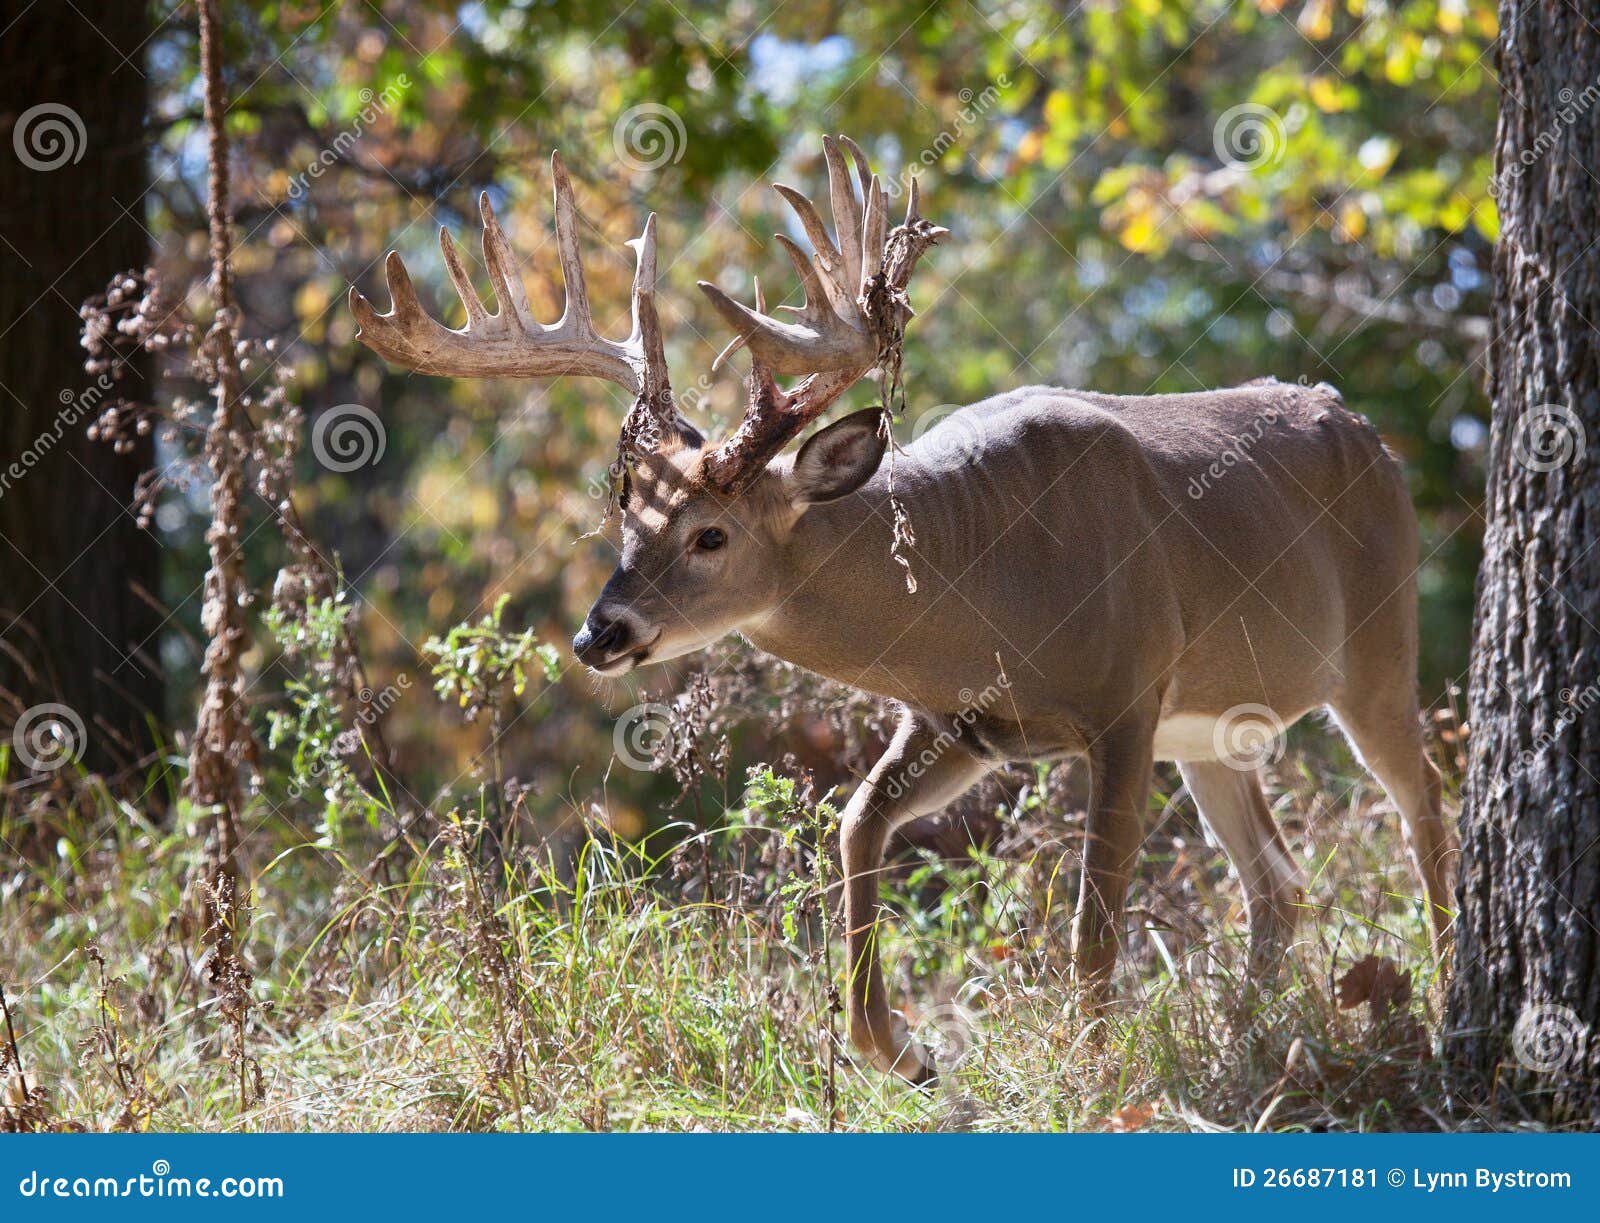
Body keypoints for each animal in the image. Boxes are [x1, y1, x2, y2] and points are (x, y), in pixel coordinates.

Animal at [349, 135, 1456, 1084]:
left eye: (711, 535)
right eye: (628, 516)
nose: (599, 632)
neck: (984, 581)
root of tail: (1365, 429)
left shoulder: (1123, 699)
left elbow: (1092, 921)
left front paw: (1090, 1066)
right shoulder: (961, 721)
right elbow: (854, 824)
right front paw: (900, 1048)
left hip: (1376, 647)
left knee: (1424, 800)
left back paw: (1445, 993)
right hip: (1216, 728)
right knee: (1279, 878)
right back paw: (1249, 1031)